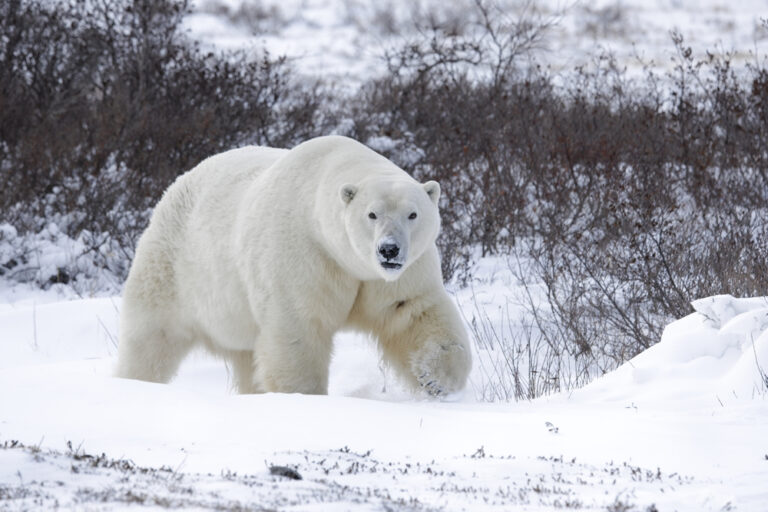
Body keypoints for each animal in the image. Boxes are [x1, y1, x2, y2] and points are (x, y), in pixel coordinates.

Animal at [114, 135, 471, 396]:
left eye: (413, 214)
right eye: (372, 214)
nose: (389, 250)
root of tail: (178, 183)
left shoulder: (397, 274)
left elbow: (412, 310)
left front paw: (437, 378)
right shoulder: (305, 254)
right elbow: (299, 326)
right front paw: (303, 396)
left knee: (246, 356)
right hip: (172, 266)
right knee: (151, 338)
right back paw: (132, 382)